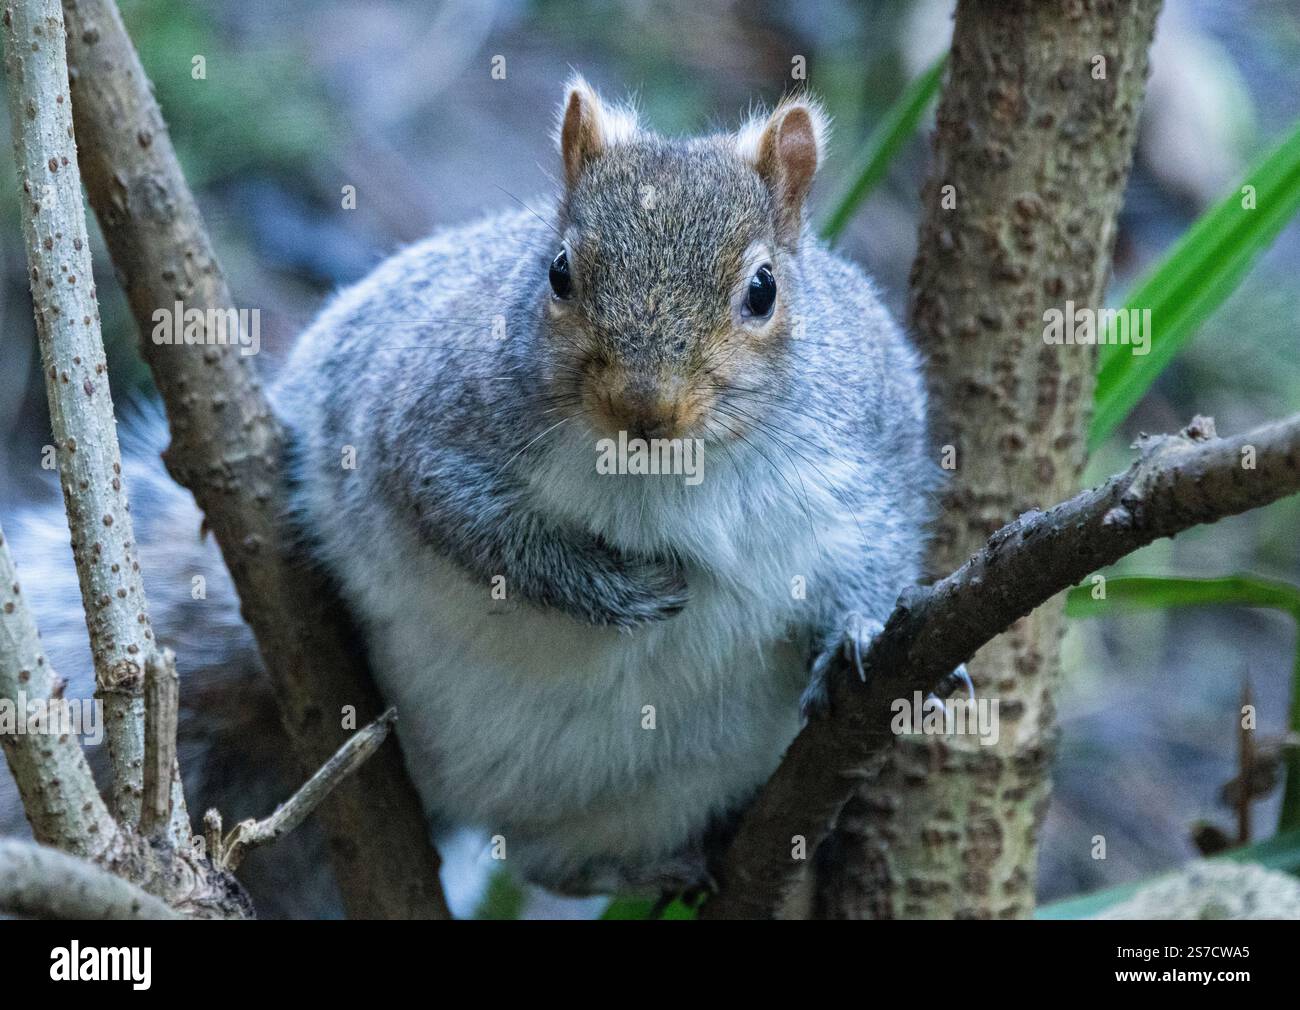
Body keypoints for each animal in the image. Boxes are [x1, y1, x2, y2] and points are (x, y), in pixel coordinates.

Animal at [2, 77, 935, 911]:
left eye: (763, 290)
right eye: (559, 273)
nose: (646, 408)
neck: (668, 473)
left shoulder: (872, 461)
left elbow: (881, 551)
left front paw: (856, 635)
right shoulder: (421, 432)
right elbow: (469, 526)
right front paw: (611, 590)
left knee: (550, 862)